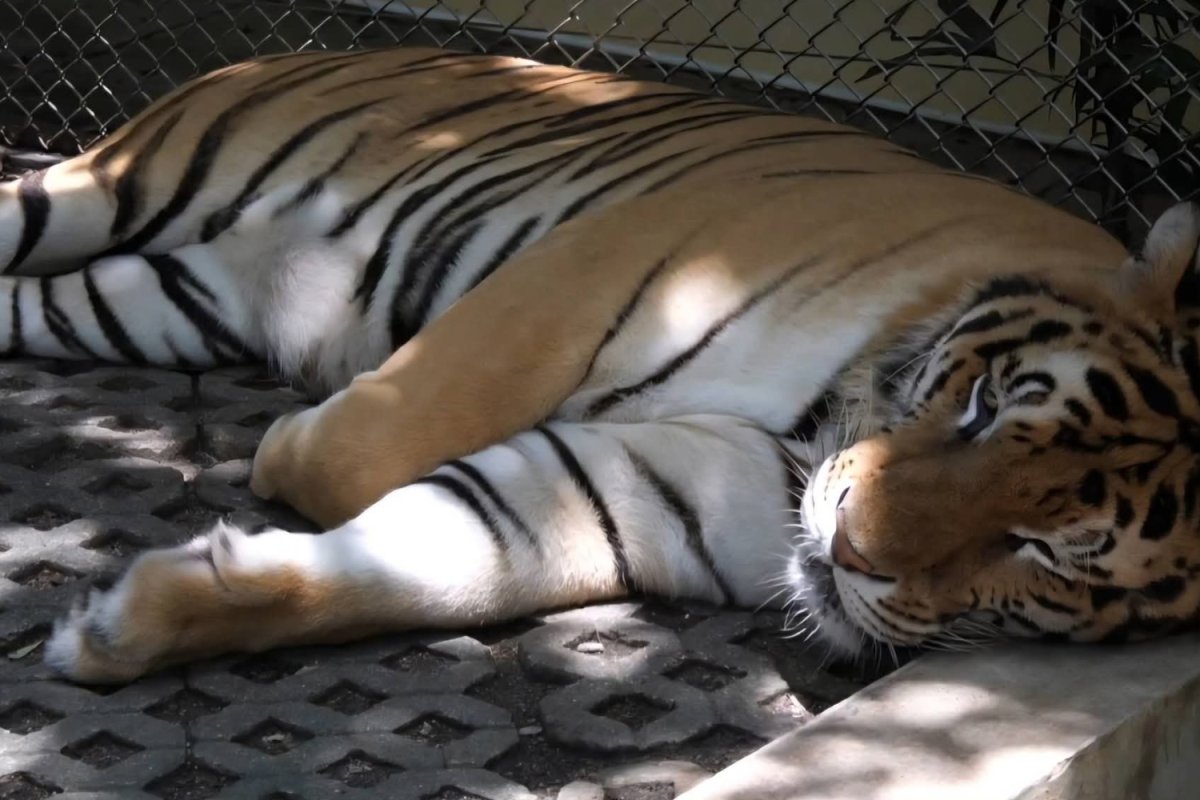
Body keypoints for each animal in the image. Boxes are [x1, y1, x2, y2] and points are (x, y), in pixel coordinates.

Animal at [1, 46, 1198, 685]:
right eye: (984, 405)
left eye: (1042, 551)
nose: (853, 552)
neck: (807, 437)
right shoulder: (624, 254)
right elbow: (363, 452)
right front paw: (284, 445)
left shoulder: (653, 489)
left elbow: (440, 560)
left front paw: (116, 627)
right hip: (106, 189)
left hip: (147, 302)